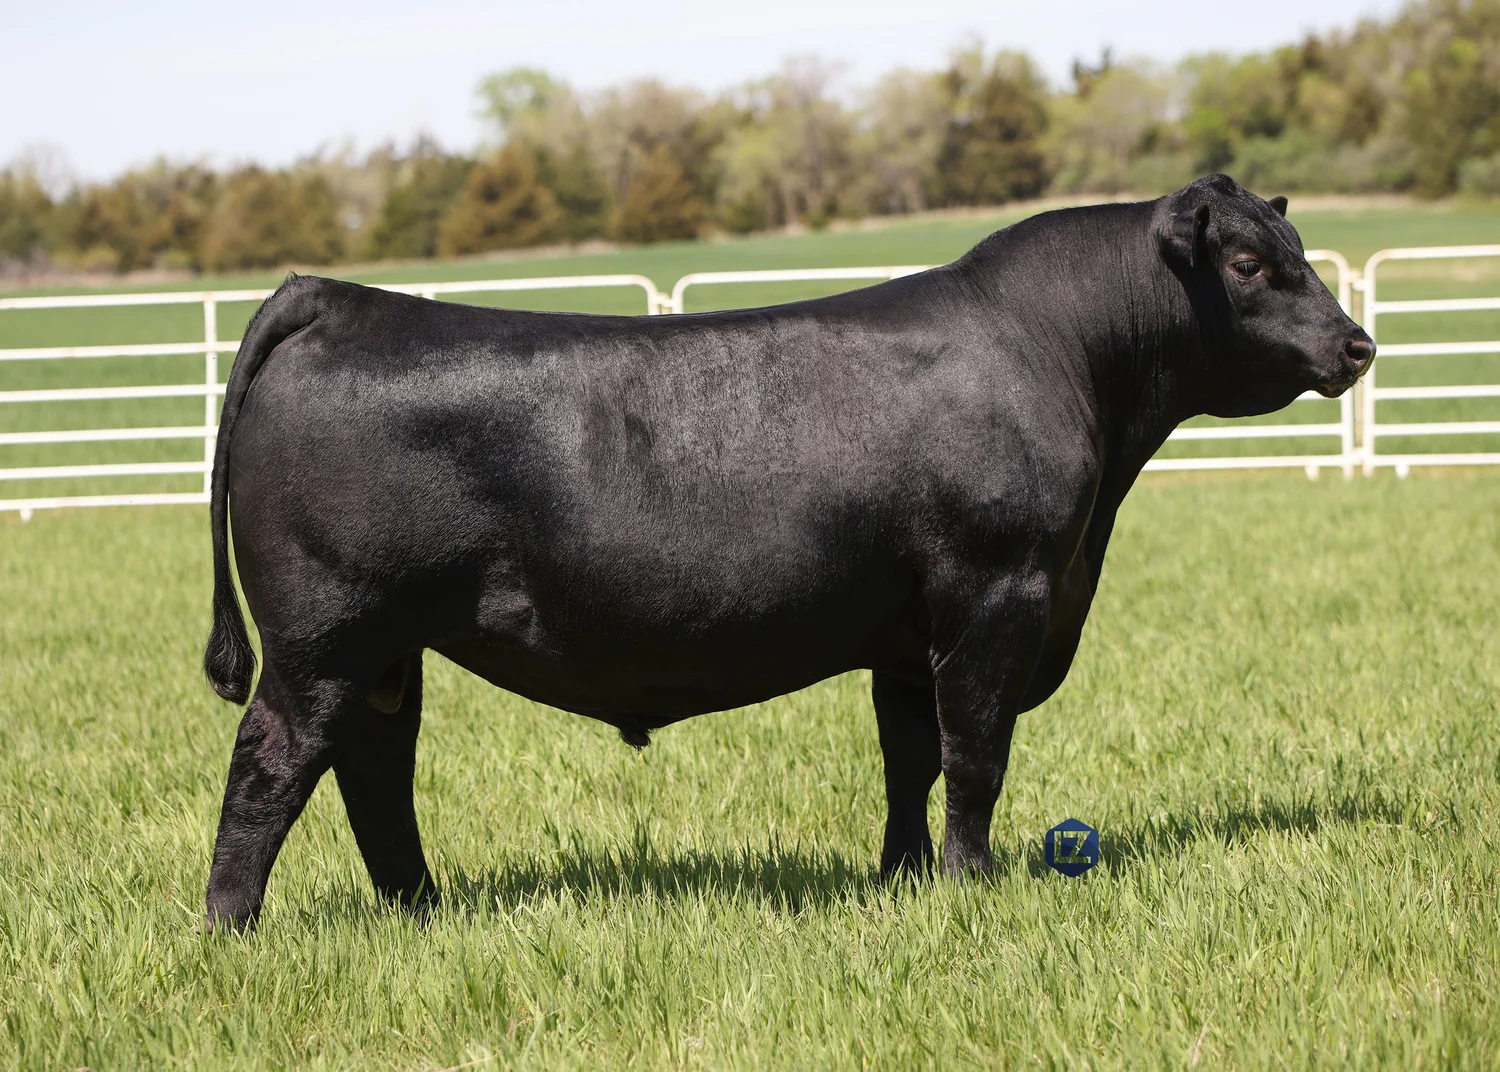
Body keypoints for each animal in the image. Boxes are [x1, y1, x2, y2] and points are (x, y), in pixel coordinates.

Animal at [200, 175, 1373, 930]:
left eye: (1298, 255)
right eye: (1250, 262)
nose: (1356, 344)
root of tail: (340, 298)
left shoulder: (907, 635)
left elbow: (909, 758)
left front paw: (903, 886)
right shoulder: (997, 593)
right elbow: (974, 755)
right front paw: (971, 891)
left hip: (385, 650)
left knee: (372, 768)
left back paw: (422, 913)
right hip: (327, 632)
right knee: (273, 761)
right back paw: (231, 931)